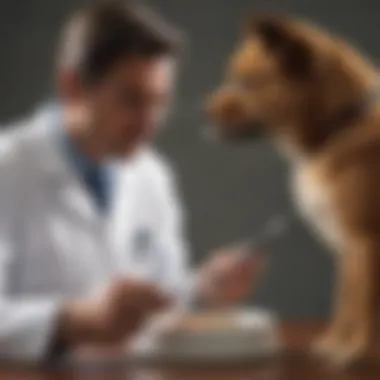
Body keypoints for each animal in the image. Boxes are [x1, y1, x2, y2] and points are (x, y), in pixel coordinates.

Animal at [208, 13, 380, 366]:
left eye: (246, 82)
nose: (204, 113)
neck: (339, 127)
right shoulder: (347, 248)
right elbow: (345, 302)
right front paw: (335, 344)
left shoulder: (367, 240)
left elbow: (364, 306)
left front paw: (357, 353)